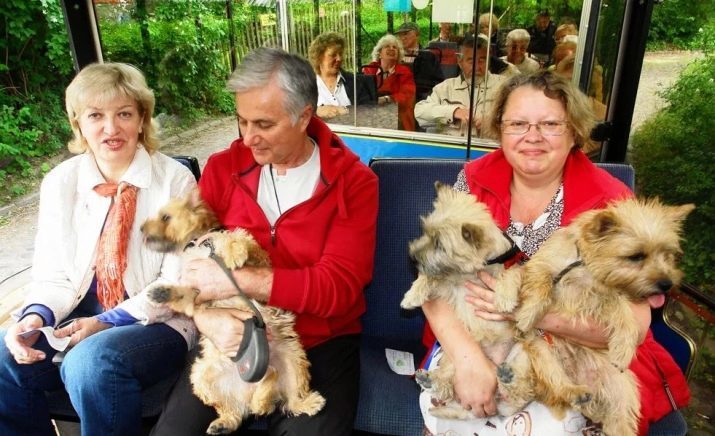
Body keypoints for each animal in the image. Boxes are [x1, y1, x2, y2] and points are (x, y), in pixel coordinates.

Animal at [141, 192, 324, 436]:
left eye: (165, 217)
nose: (140, 229)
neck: (200, 242)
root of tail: (248, 392)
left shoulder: (259, 259)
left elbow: (239, 239)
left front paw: (233, 252)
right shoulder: (196, 296)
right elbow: (183, 295)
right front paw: (162, 292)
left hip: (293, 360)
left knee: (289, 399)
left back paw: (307, 402)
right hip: (201, 376)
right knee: (235, 410)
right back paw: (224, 422)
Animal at [402, 181, 520, 418]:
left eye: (440, 245)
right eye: (426, 232)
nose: (412, 257)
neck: (473, 271)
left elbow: (513, 274)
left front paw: (504, 297)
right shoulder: (447, 284)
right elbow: (430, 276)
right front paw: (412, 295)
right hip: (453, 359)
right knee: (447, 383)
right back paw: (430, 380)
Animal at [492, 198, 692, 436]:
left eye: (667, 254)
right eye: (636, 256)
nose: (666, 284)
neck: (583, 264)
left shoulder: (604, 297)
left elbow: (625, 314)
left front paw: (624, 348)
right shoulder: (539, 266)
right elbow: (535, 281)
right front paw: (528, 312)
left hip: (622, 389)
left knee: (618, 421)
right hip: (541, 350)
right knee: (554, 382)